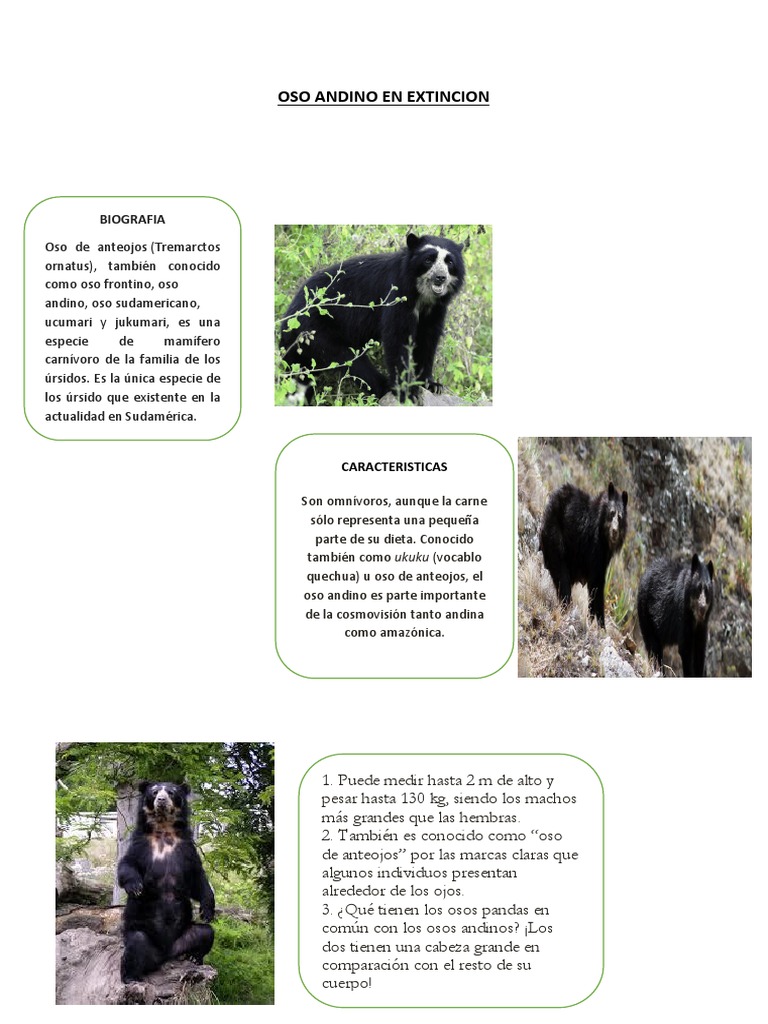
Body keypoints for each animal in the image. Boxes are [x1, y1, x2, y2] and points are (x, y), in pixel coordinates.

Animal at [117, 781, 215, 983]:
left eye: (171, 792)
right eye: (154, 792)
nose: (161, 800)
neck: (164, 829)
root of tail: (166, 953)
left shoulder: (186, 848)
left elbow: (197, 878)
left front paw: (207, 911)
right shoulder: (141, 845)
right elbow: (128, 864)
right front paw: (136, 887)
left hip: (185, 935)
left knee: (206, 933)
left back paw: (194, 958)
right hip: (142, 935)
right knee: (136, 944)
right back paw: (131, 978)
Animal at [279, 232, 466, 403]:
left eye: (449, 262)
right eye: (428, 260)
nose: (440, 278)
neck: (423, 296)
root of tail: (287, 321)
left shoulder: (436, 309)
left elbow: (427, 340)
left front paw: (432, 384)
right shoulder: (398, 295)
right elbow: (398, 338)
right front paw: (407, 391)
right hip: (317, 332)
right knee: (351, 361)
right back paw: (384, 387)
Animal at [540, 481, 629, 627]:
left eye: (620, 517)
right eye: (611, 513)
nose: (615, 531)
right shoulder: (594, 547)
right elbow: (596, 584)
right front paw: (599, 624)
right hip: (555, 536)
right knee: (562, 575)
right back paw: (566, 609)